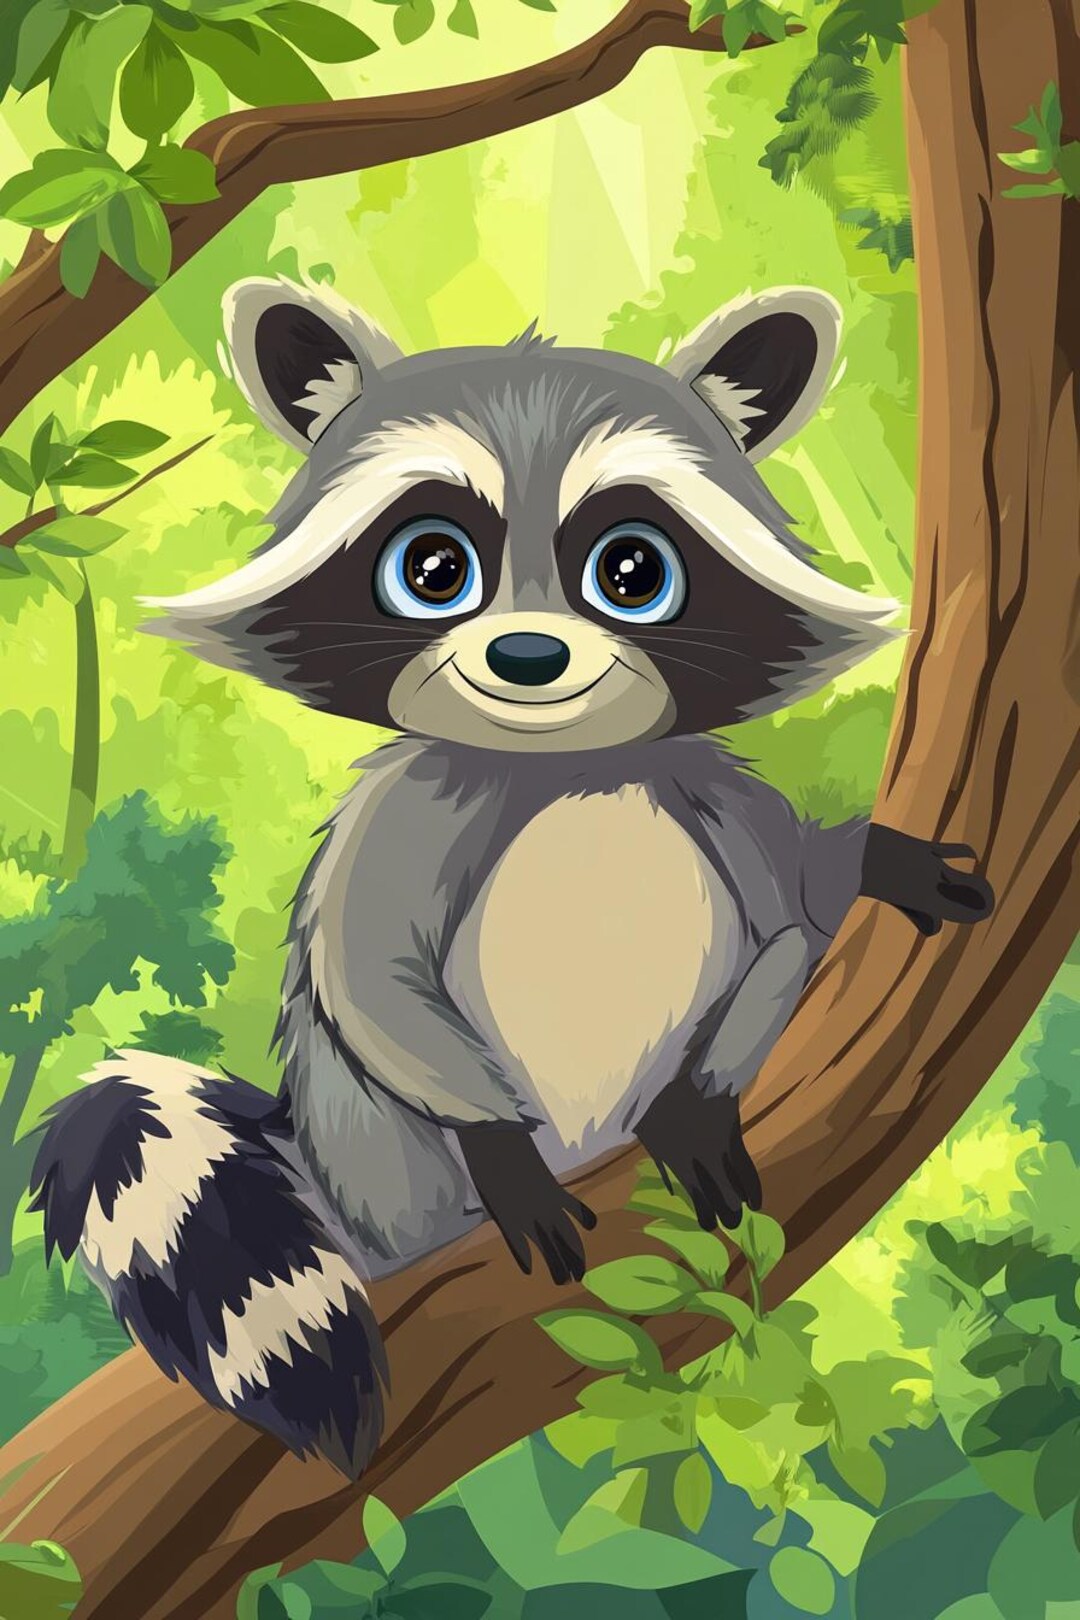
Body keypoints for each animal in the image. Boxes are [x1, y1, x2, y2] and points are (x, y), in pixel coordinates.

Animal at [30, 278, 993, 1478]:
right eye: (434, 568)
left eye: (632, 571)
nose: (527, 661)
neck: (558, 760)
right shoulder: (410, 817)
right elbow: (370, 978)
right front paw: (498, 1141)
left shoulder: (709, 791)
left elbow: (790, 930)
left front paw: (719, 1064)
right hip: (381, 1159)